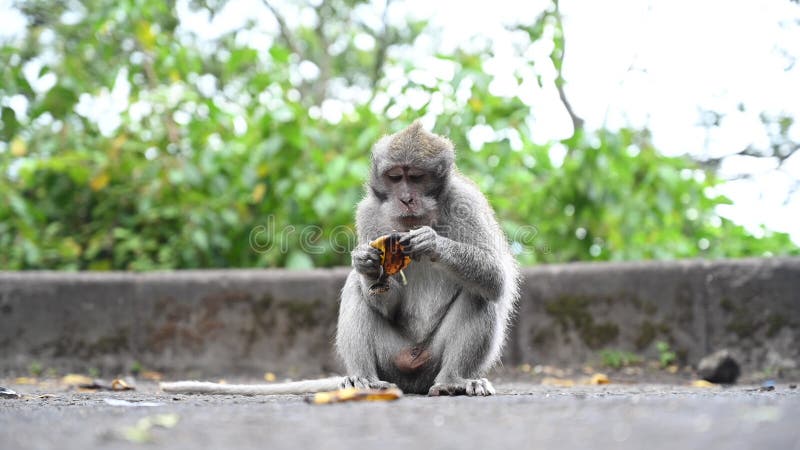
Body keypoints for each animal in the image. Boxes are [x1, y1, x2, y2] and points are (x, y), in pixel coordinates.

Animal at [160, 121, 519, 397]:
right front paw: (367, 263)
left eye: (416, 177)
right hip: (391, 359)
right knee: (355, 291)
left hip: (430, 361)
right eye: (395, 176)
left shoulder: (465, 202)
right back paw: (363, 379)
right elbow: (378, 293)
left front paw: (430, 242)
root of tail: (413, 373)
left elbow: (494, 277)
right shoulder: (370, 212)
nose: (405, 198)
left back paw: (453, 382)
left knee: (479, 295)